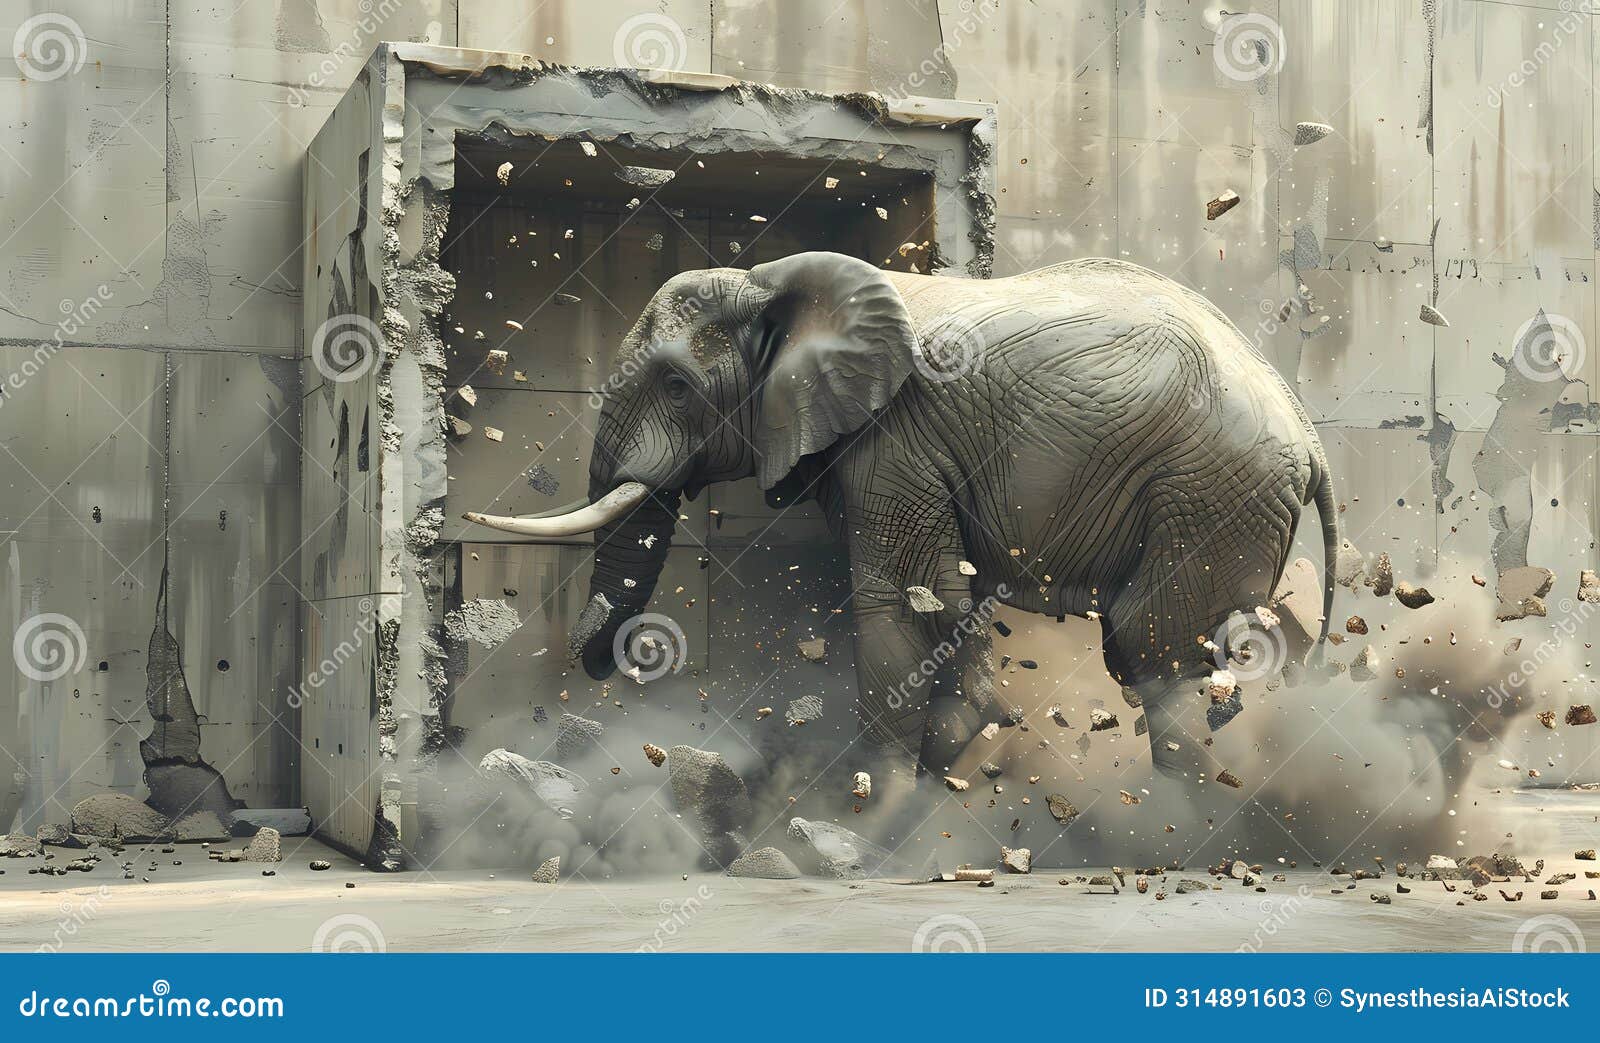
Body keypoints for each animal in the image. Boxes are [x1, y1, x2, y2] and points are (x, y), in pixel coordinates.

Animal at [464, 251, 1338, 799]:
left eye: (677, 387)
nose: (633, 657)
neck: (774, 280)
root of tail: (1310, 433)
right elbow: (943, 605)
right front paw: (941, 765)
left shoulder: (895, 441)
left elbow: (898, 605)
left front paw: (873, 809)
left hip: (1212, 491)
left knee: (1158, 657)